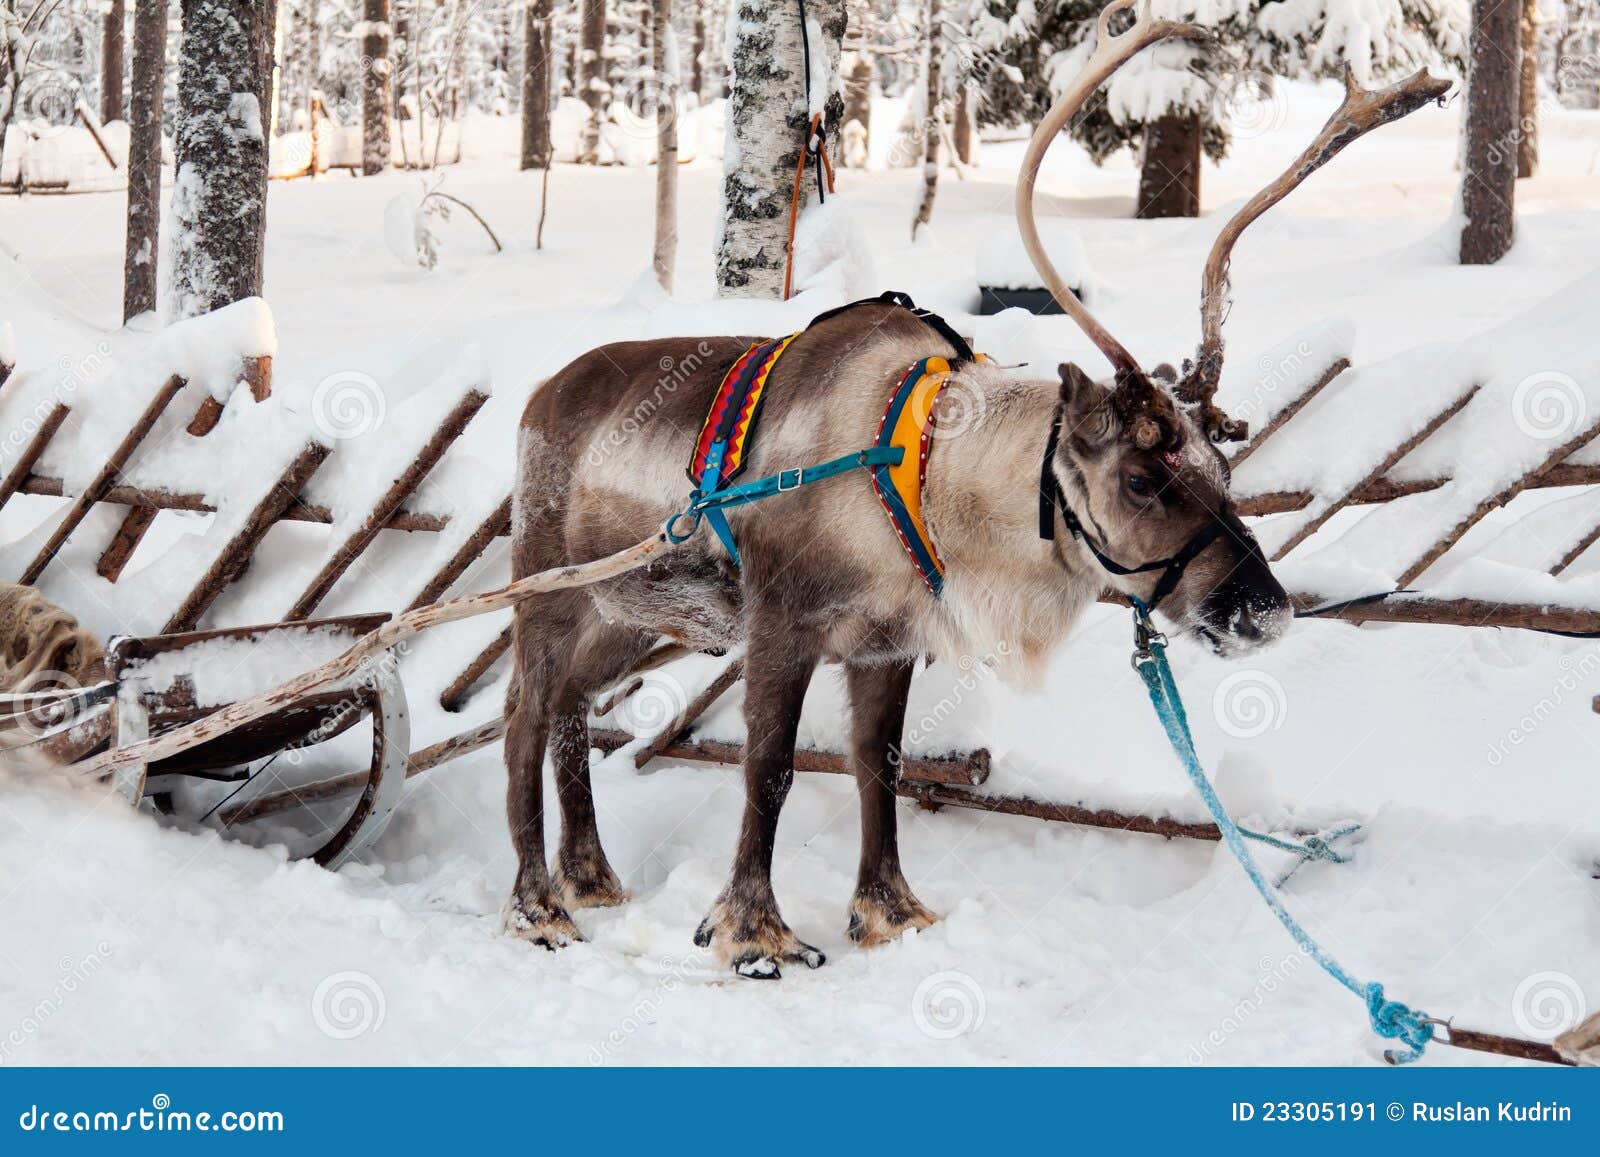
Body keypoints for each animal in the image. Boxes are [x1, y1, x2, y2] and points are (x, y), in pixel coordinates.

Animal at [500, 0, 1450, 977]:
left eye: (1223, 467)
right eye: (1142, 477)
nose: (1266, 609)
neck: (932, 481)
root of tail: (538, 395)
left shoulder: (884, 644)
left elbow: (879, 765)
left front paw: (890, 911)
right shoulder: (782, 623)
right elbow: (768, 768)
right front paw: (752, 933)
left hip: (630, 613)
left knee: (571, 709)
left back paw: (591, 877)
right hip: (549, 593)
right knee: (524, 717)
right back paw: (538, 905)